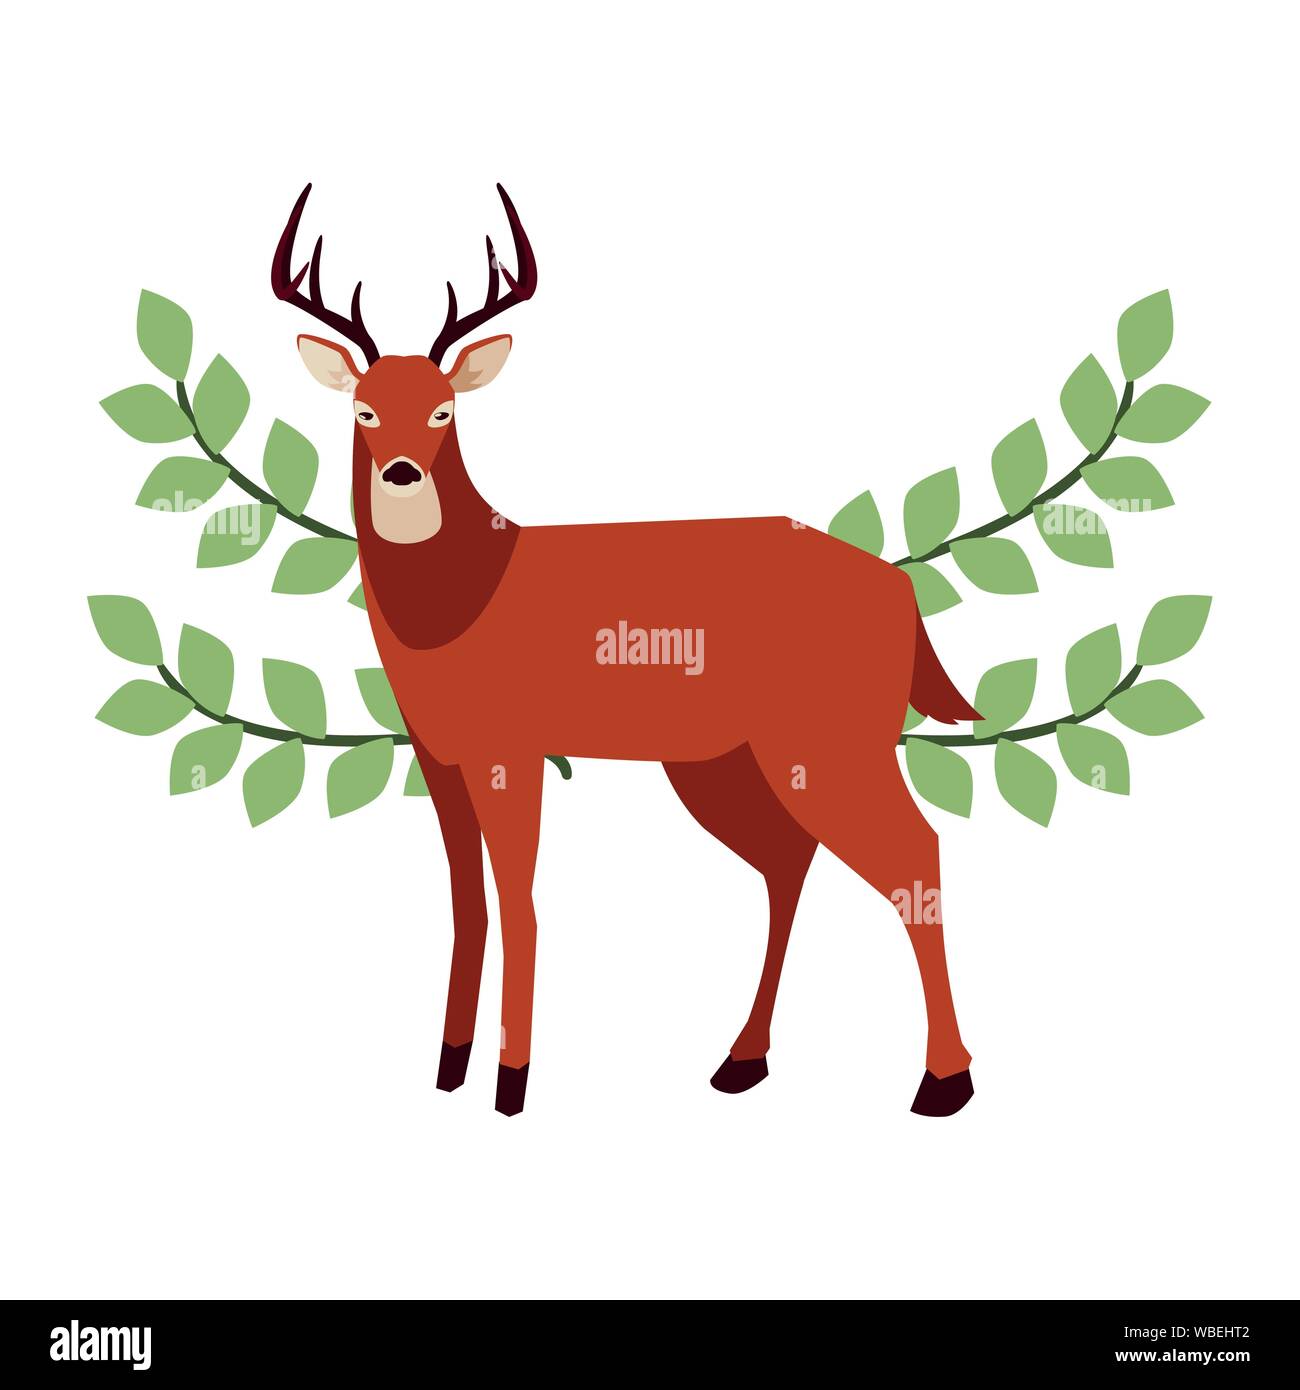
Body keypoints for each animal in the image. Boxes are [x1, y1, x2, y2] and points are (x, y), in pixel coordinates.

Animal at [272, 183, 981, 1118]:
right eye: (361, 409)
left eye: (443, 409)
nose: (400, 477)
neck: (463, 603)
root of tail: (903, 593)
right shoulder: (437, 754)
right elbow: (468, 903)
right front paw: (448, 1068)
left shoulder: (511, 747)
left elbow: (520, 899)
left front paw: (511, 1084)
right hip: (725, 760)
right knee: (788, 861)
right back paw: (742, 1060)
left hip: (832, 740)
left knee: (915, 851)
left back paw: (944, 1081)